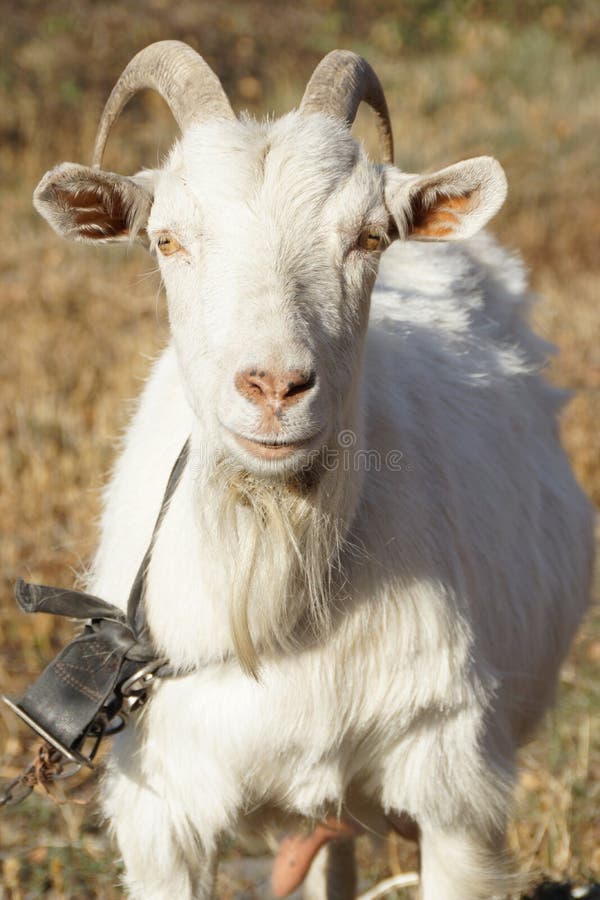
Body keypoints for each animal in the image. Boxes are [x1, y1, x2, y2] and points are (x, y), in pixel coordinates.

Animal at [33, 41, 593, 900]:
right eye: (166, 239)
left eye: (370, 236)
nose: (275, 387)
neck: (275, 609)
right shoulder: (164, 816)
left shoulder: (455, 793)